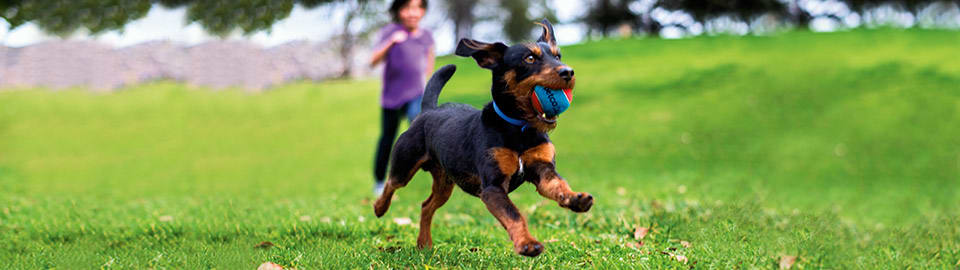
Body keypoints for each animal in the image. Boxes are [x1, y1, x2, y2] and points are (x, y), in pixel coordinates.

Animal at [376, 19, 592, 258]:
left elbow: (558, 185)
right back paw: (379, 208)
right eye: (529, 58)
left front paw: (575, 198)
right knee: (391, 183)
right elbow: (513, 214)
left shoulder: (543, 169)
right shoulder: (492, 188)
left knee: (426, 206)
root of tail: (428, 110)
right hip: (404, 165)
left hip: (445, 183)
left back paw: (424, 244)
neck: (520, 129)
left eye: (558, 56)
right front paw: (527, 243)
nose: (568, 72)